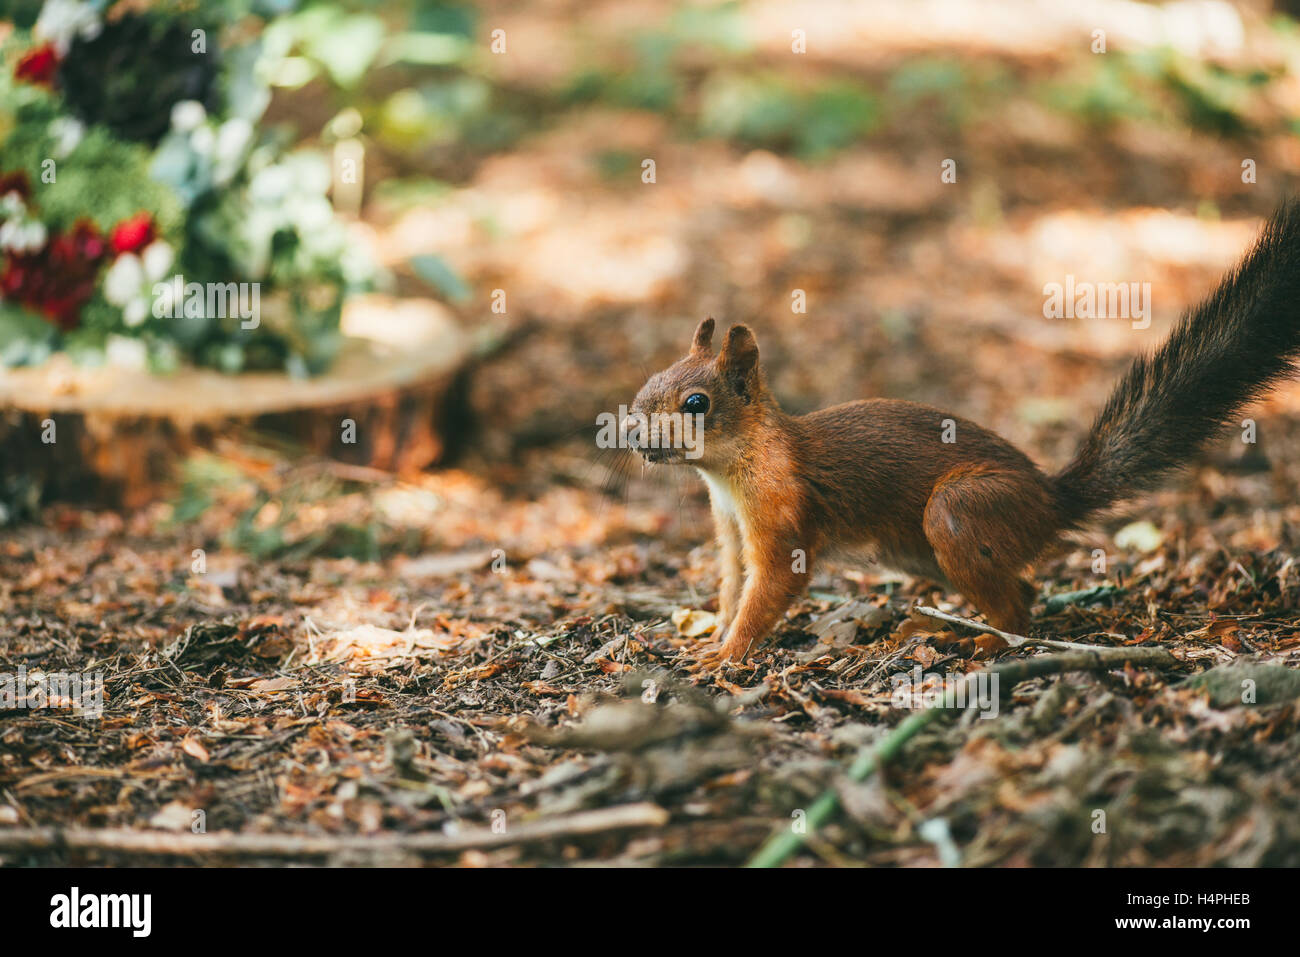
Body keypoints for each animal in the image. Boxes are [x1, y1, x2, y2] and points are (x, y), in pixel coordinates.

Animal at [626, 201, 1300, 665]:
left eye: (696, 403)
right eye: (651, 378)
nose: (632, 436)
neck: (730, 470)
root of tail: (1053, 501)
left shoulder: (783, 512)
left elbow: (772, 587)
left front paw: (725, 656)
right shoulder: (730, 528)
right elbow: (730, 586)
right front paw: (710, 636)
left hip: (961, 509)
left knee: (1018, 607)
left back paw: (985, 644)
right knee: (1021, 589)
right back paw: (938, 627)